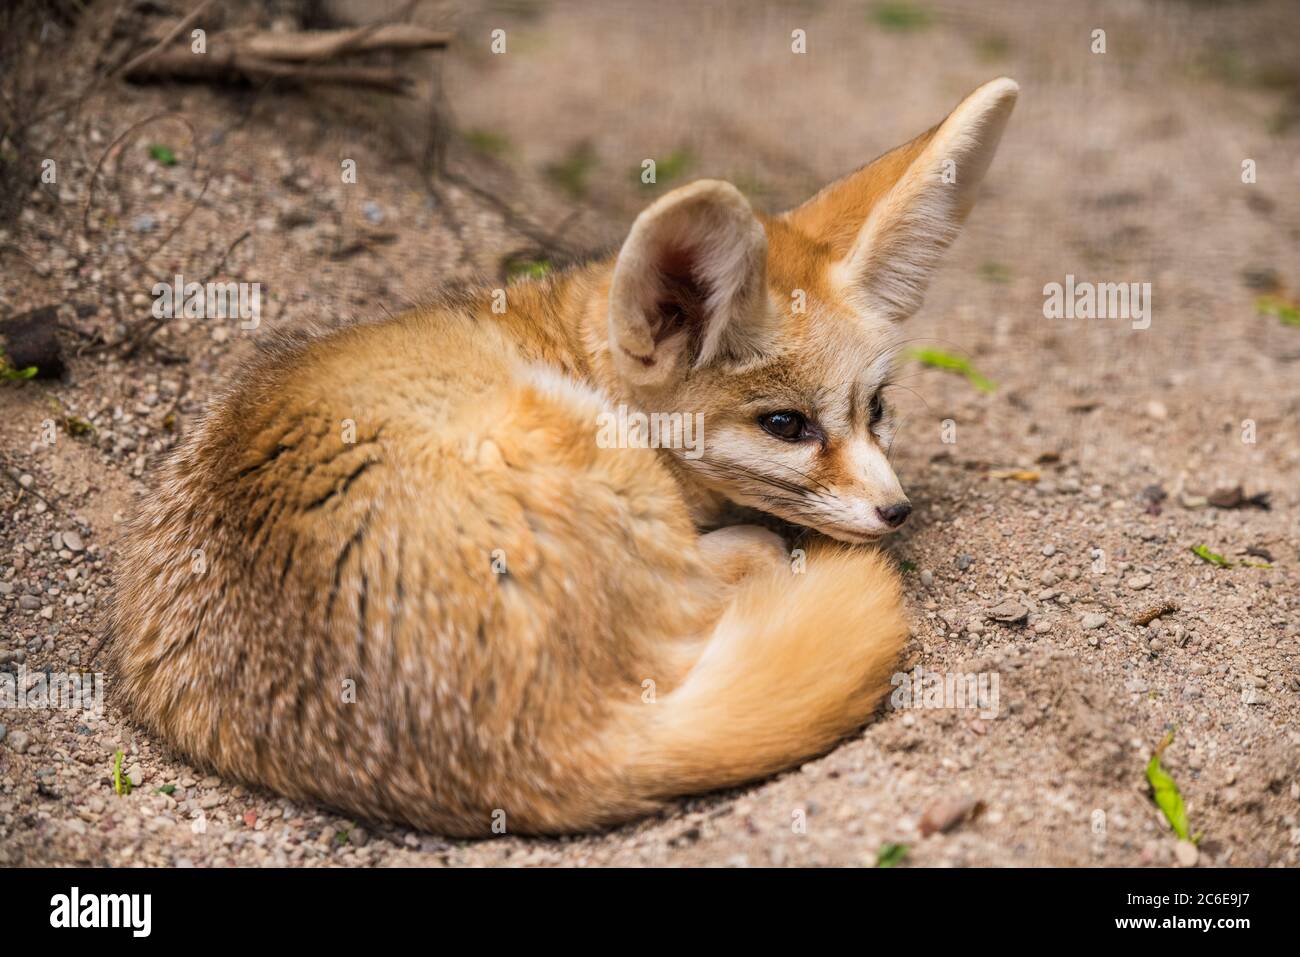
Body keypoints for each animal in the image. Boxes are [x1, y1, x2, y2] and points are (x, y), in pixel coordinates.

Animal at [110, 78, 1018, 835]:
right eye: (787, 424)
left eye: (877, 409)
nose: (897, 510)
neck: (566, 348)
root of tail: (538, 752)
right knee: (730, 572)